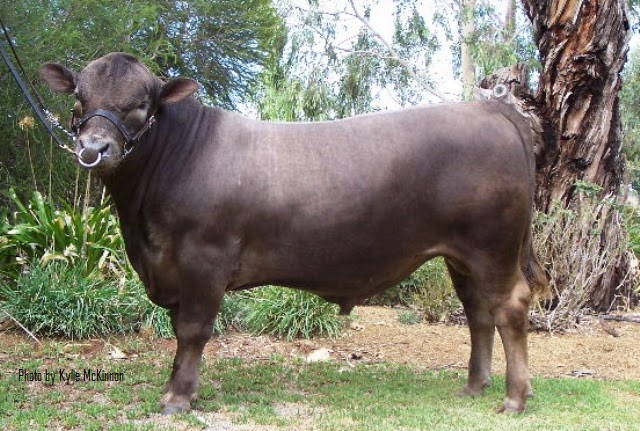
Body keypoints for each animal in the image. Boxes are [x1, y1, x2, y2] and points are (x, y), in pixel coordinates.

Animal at [40, 52, 547, 415]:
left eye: (141, 105)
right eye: (79, 99)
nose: (93, 149)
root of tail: (490, 110)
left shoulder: (203, 259)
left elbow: (192, 329)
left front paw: (179, 398)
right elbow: (180, 330)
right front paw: (175, 389)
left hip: (494, 247)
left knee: (509, 307)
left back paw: (514, 398)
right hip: (462, 255)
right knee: (477, 313)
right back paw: (475, 386)